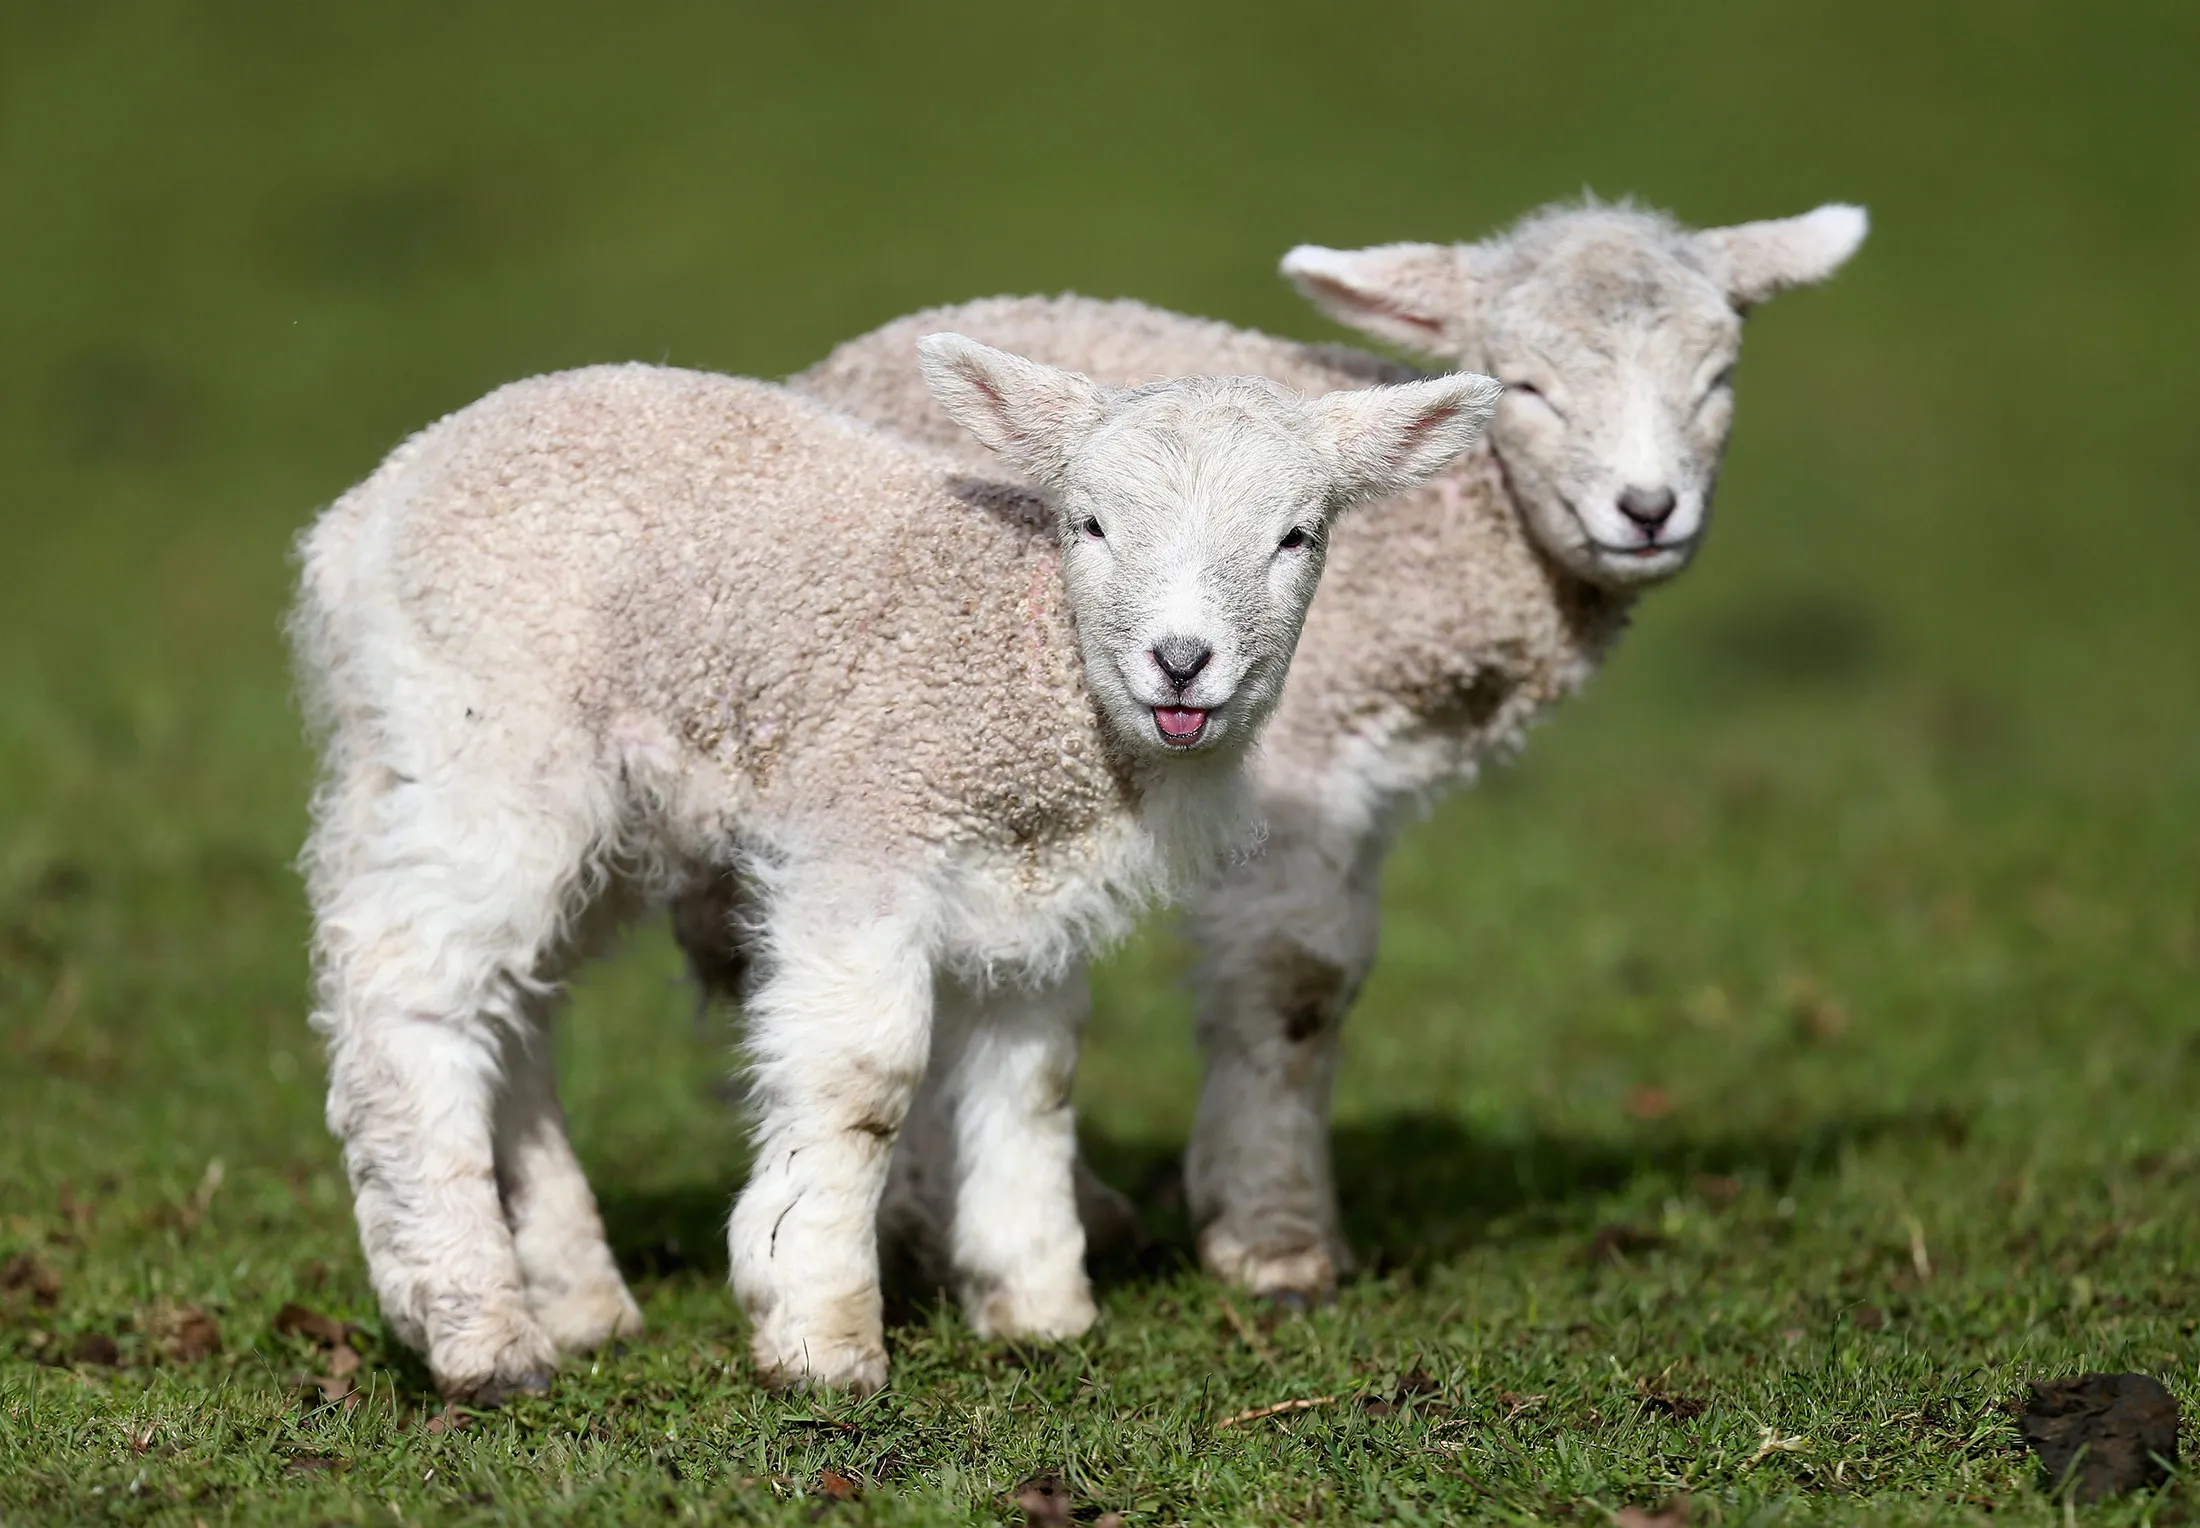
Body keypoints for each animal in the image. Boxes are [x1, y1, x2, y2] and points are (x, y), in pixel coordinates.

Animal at [290, 335, 1500, 1398]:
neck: (1028, 662)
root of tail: (356, 521)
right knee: (409, 988)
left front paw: (1035, 1304)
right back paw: (478, 1332)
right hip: (486, 739)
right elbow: (861, 1081)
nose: (1182, 663)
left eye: (1297, 536)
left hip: (560, 793)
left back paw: (578, 1298)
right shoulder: (864, 830)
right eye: (1091, 522)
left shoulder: (1035, 888)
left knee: (514, 1004)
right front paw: (817, 1328)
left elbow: (1034, 1078)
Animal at [766, 199, 1868, 1303]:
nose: (1648, 512)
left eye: (1717, 380)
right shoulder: (1298, 762)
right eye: (1526, 387)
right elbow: (1296, 981)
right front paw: (1275, 1239)